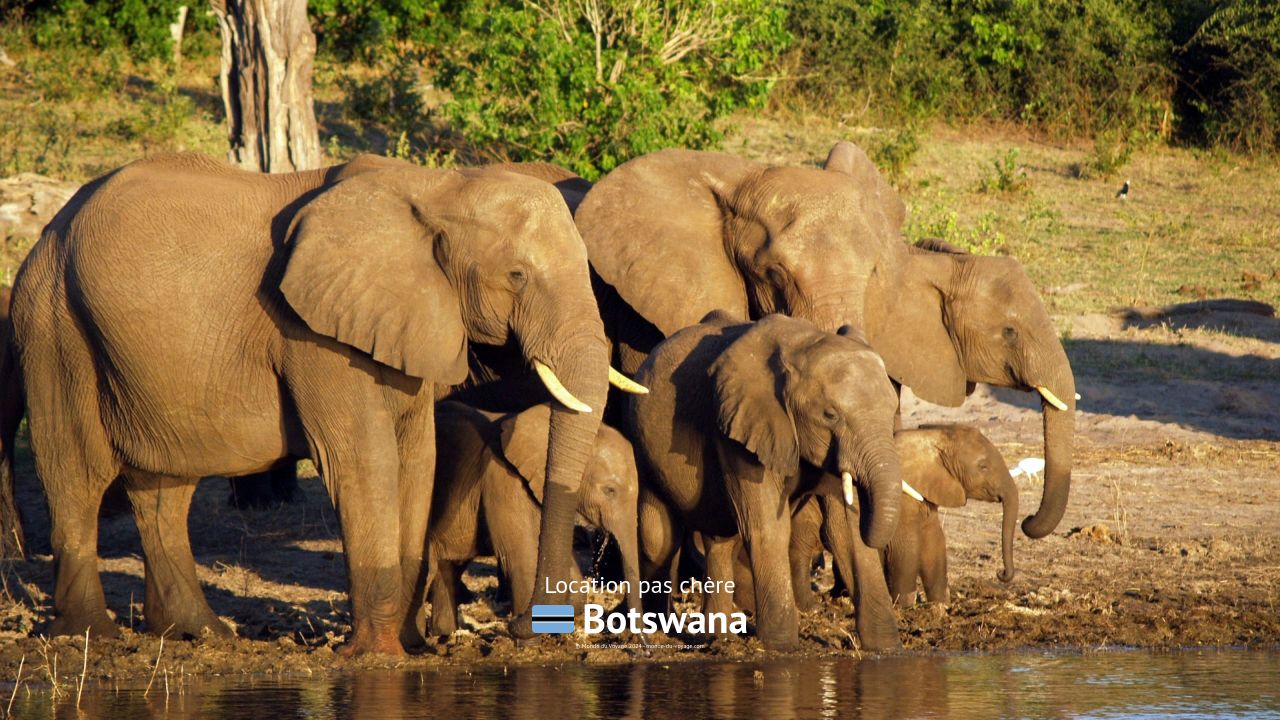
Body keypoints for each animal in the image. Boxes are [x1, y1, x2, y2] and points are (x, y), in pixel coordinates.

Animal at [7, 151, 609, 650]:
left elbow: (418, 459)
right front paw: (378, 657)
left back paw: (201, 634)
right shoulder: (312, 334)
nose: (534, 625)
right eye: (517, 275)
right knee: (77, 472)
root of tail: (51, 227)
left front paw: (412, 647)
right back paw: (90, 636)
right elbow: (366, 461)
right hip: (55, 324)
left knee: (164, 488)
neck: (436, 186)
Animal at [424, 397, 640, 632]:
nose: (510, 621)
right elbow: (520, 561)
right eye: (610, 490)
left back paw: (444, 634)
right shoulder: (503, 480)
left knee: (449, 568)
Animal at [880, 422, 1018, 602]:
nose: (1000, 573)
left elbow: (934, 540)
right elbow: (905, 545)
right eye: (983, 467)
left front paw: (941, 605)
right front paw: (905, 605)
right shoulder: (898, 497)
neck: (932, 436)